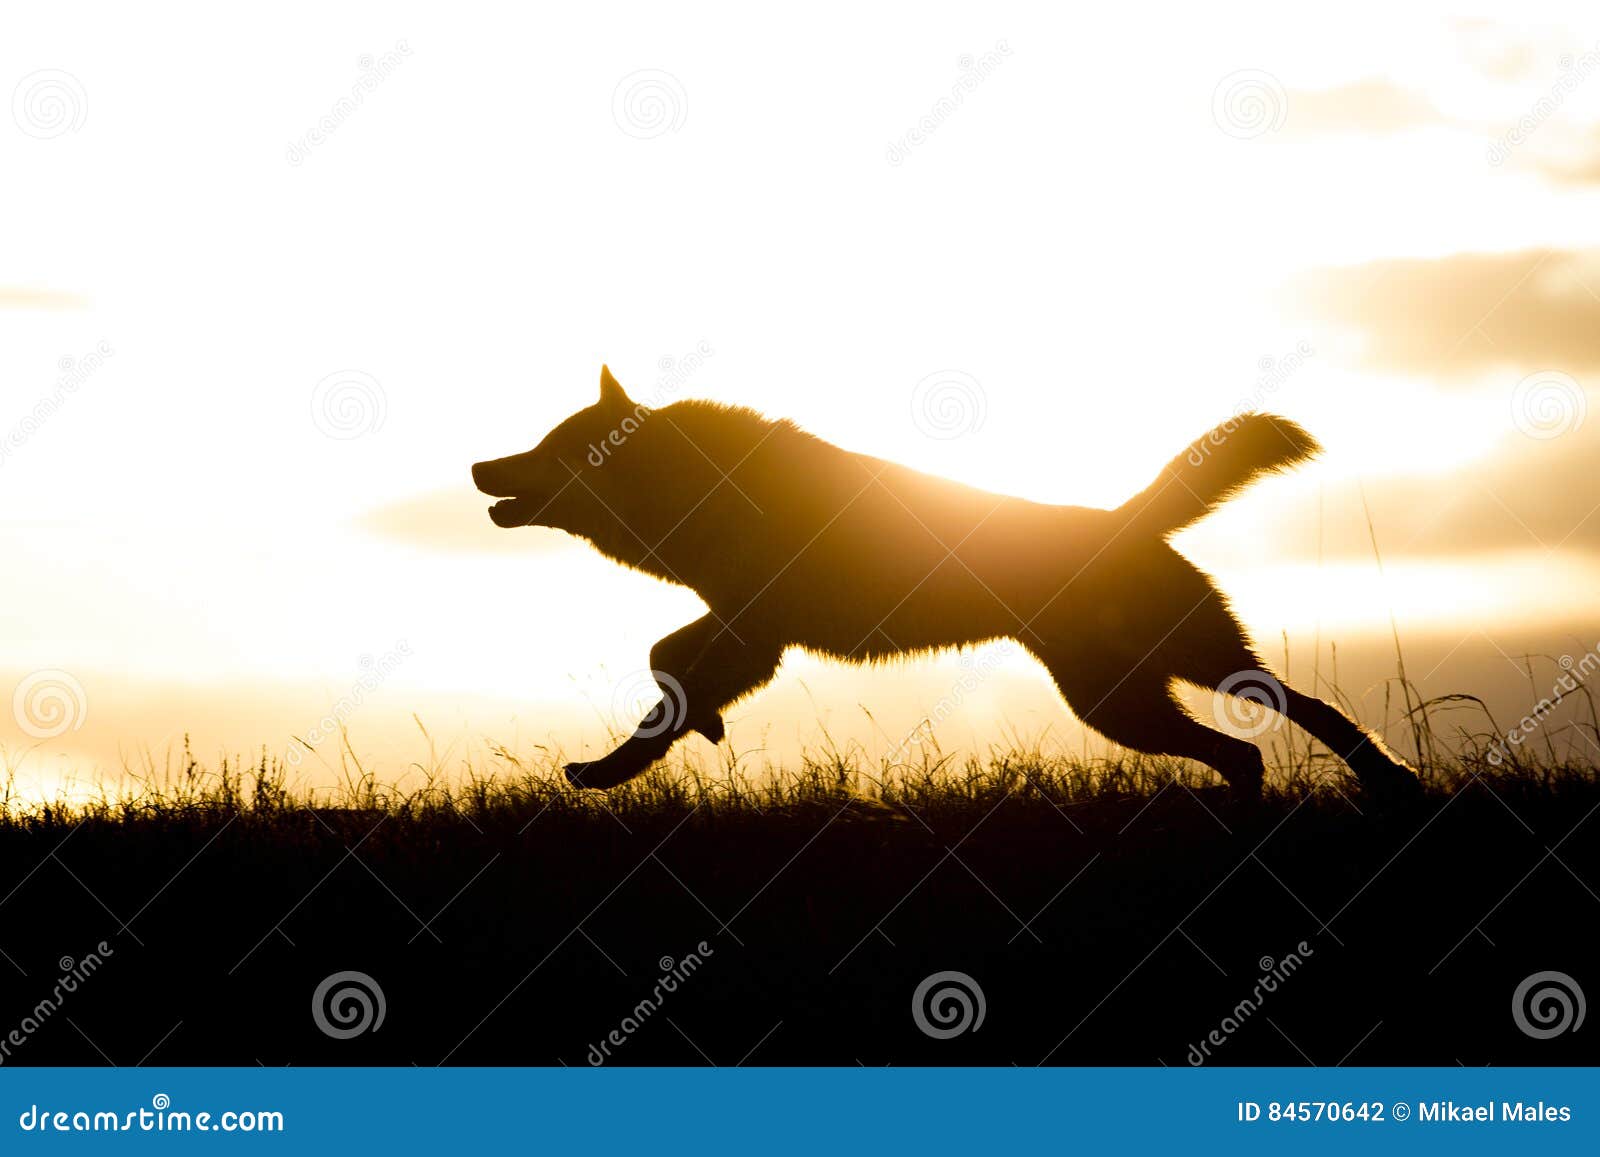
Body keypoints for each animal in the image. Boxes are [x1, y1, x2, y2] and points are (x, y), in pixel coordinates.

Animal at [473, 366, 1420, 801]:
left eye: (552, 447)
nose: (481, 466)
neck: (707, 490)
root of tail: (1125, 517)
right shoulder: (749, 628)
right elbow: (666, 665)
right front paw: (642, 752)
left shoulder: (753, 626)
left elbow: (664, 662)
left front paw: (643, 749)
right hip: (1130, 695)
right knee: (1257, 744)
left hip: (1146, 686)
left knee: (1279, 726)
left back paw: (1378, 788)